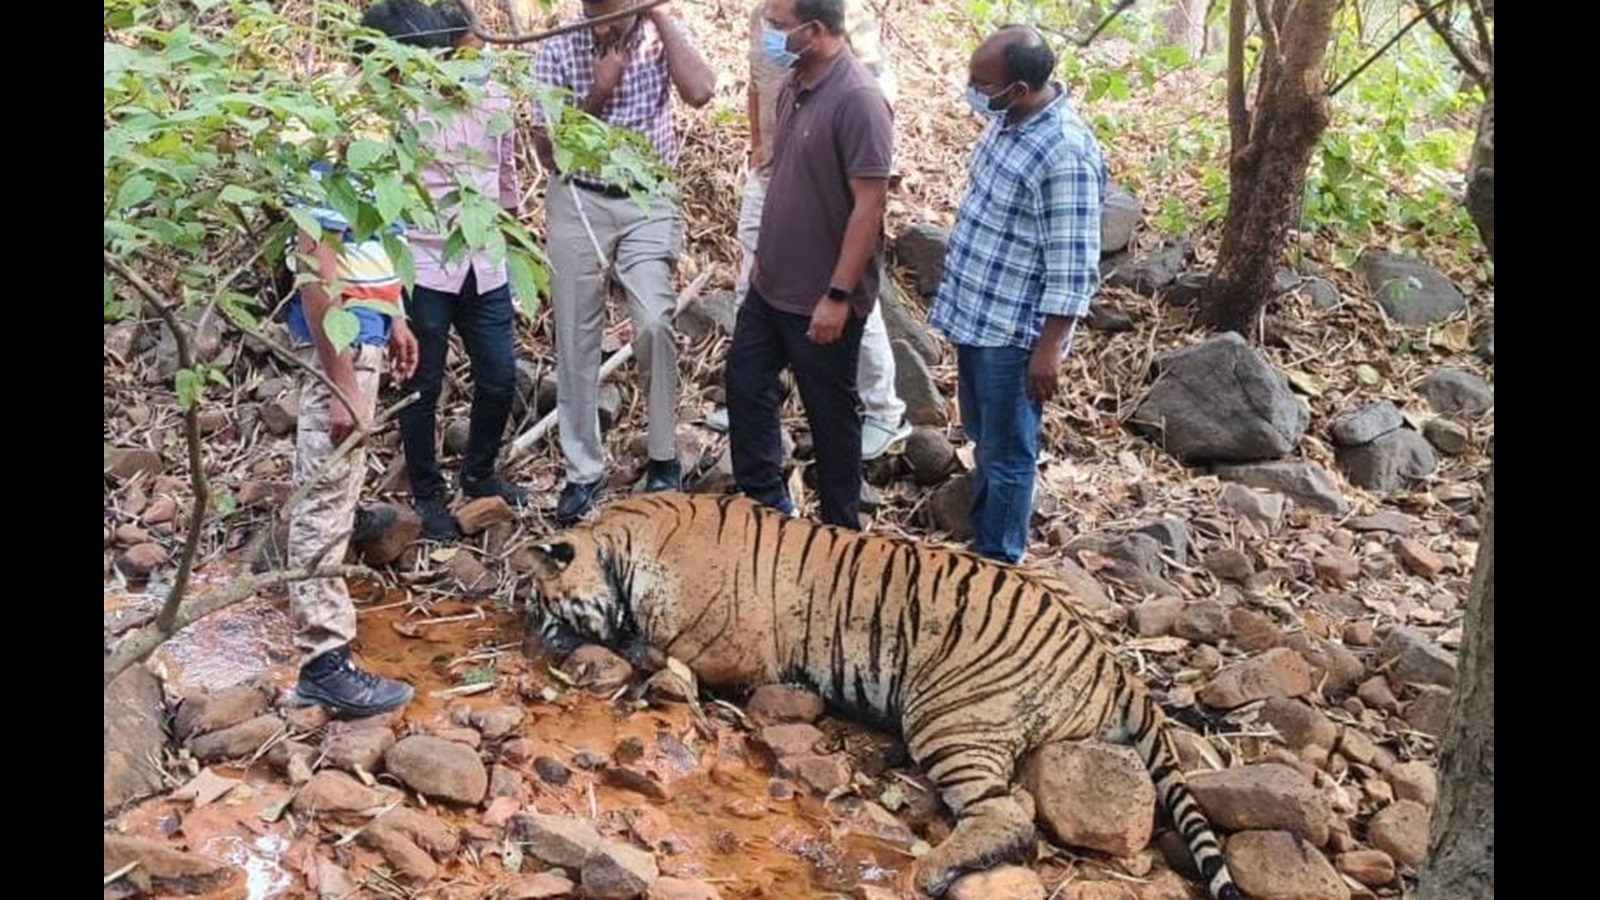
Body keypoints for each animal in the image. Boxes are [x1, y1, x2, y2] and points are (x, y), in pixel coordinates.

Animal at [527, 492, 1241, 900]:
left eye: (544, 603)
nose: (537, 637)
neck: (627, 543)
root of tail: (1108, 656)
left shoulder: (733, 653)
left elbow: (651, 651)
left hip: (946, 717)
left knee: (1008, 815)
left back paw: (929, 873)